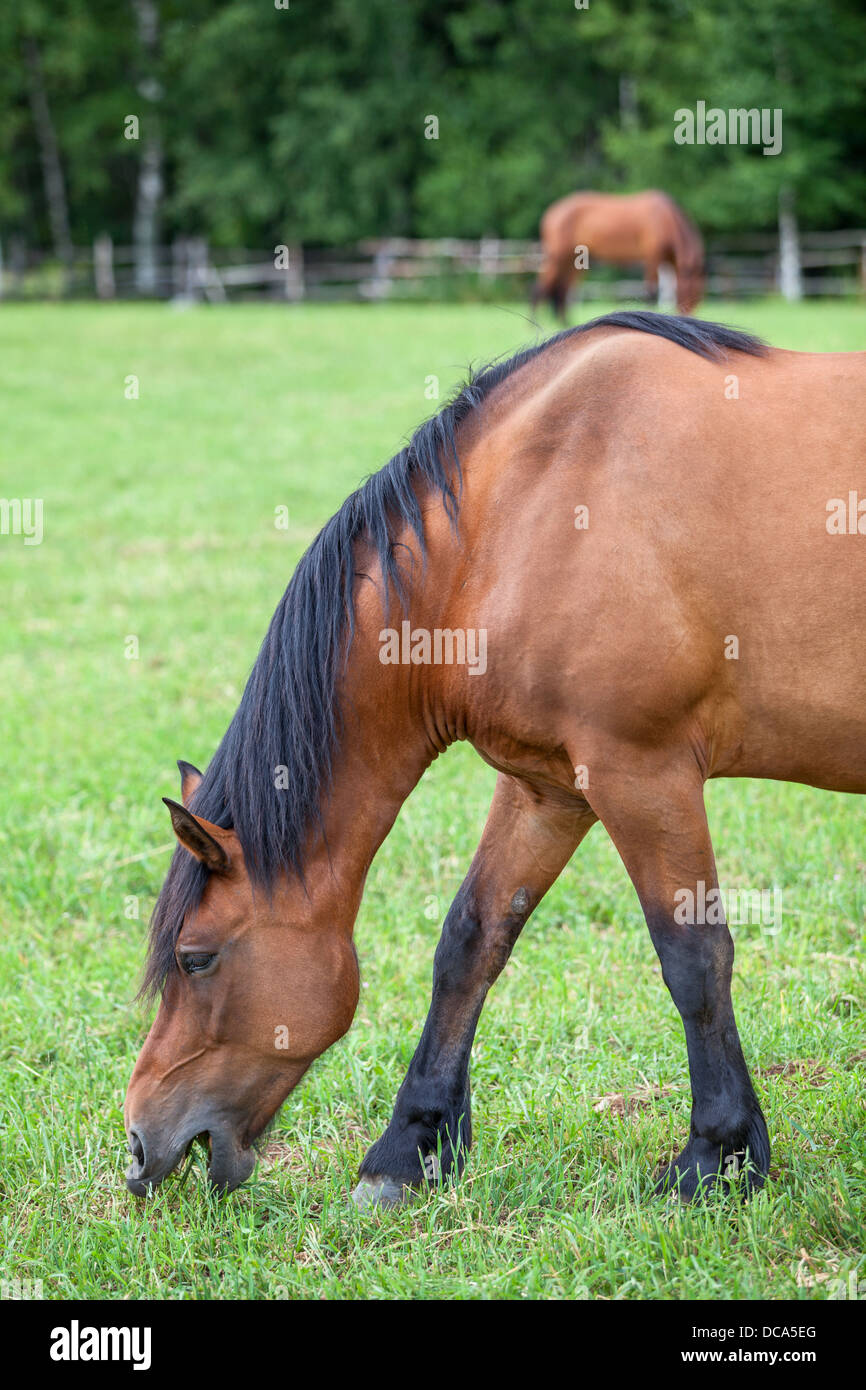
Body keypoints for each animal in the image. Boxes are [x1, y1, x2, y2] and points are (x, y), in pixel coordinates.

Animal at [125, 310, 866, 1208]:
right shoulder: (552, 785)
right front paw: (406, 1151)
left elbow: (693, 957)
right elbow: (471, 942)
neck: (521, 511)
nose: (138, 1146)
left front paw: (714, 1157)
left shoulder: (642, 772)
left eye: (195, 958)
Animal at [531, 190, 704, 320]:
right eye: (690, 292)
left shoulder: (668, 260)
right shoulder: (653, 257)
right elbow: (651, 291)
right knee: (540, 287)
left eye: (698, 295)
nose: (690, 317)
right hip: (557, 256)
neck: (665, 218)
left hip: (571, 260)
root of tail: (552, 212)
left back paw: (565, 323)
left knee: (563, 289)